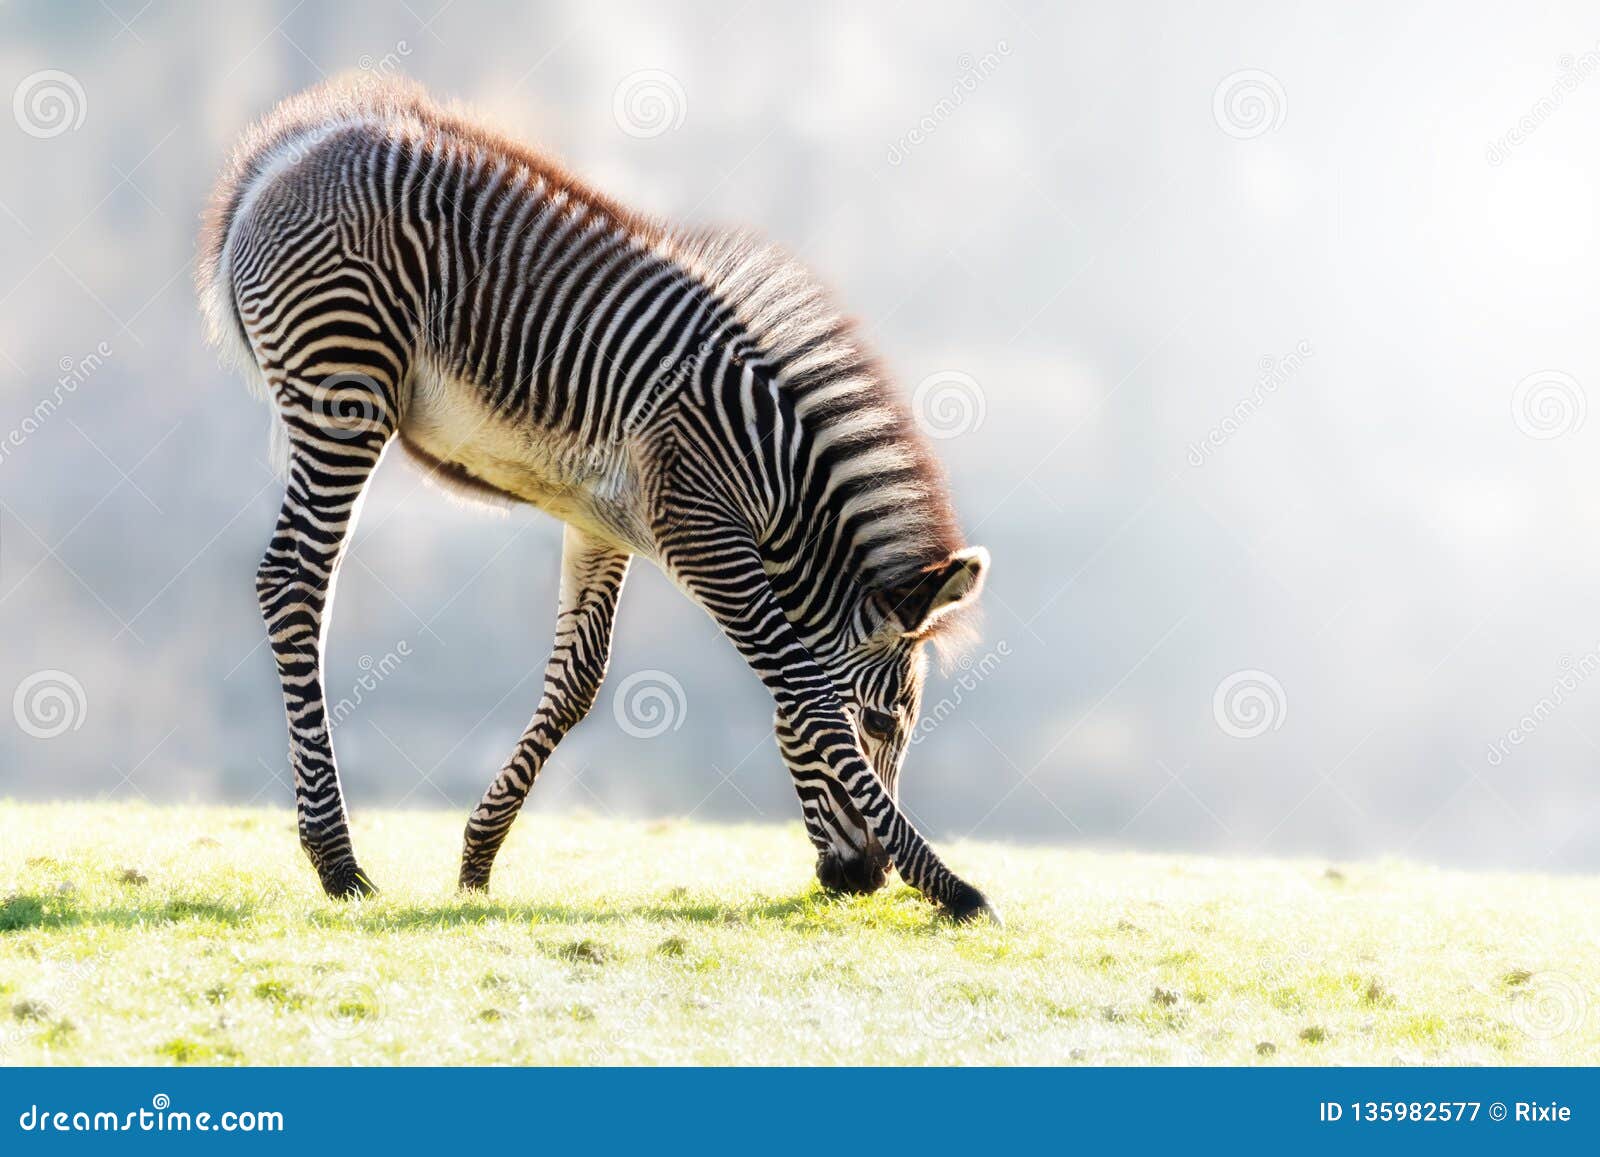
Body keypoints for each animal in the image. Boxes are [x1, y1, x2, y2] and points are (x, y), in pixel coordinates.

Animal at [197, 77, 998, 922]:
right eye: (882, 720)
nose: (864, 879)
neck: (770, 472)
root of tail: (294, 147)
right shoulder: (703, 535)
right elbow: (803, 687)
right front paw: (952, 886)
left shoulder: (601, 522)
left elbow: (579, 679)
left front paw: (478, 857)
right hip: (346, 388)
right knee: (293, 581)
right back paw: (337, 859)